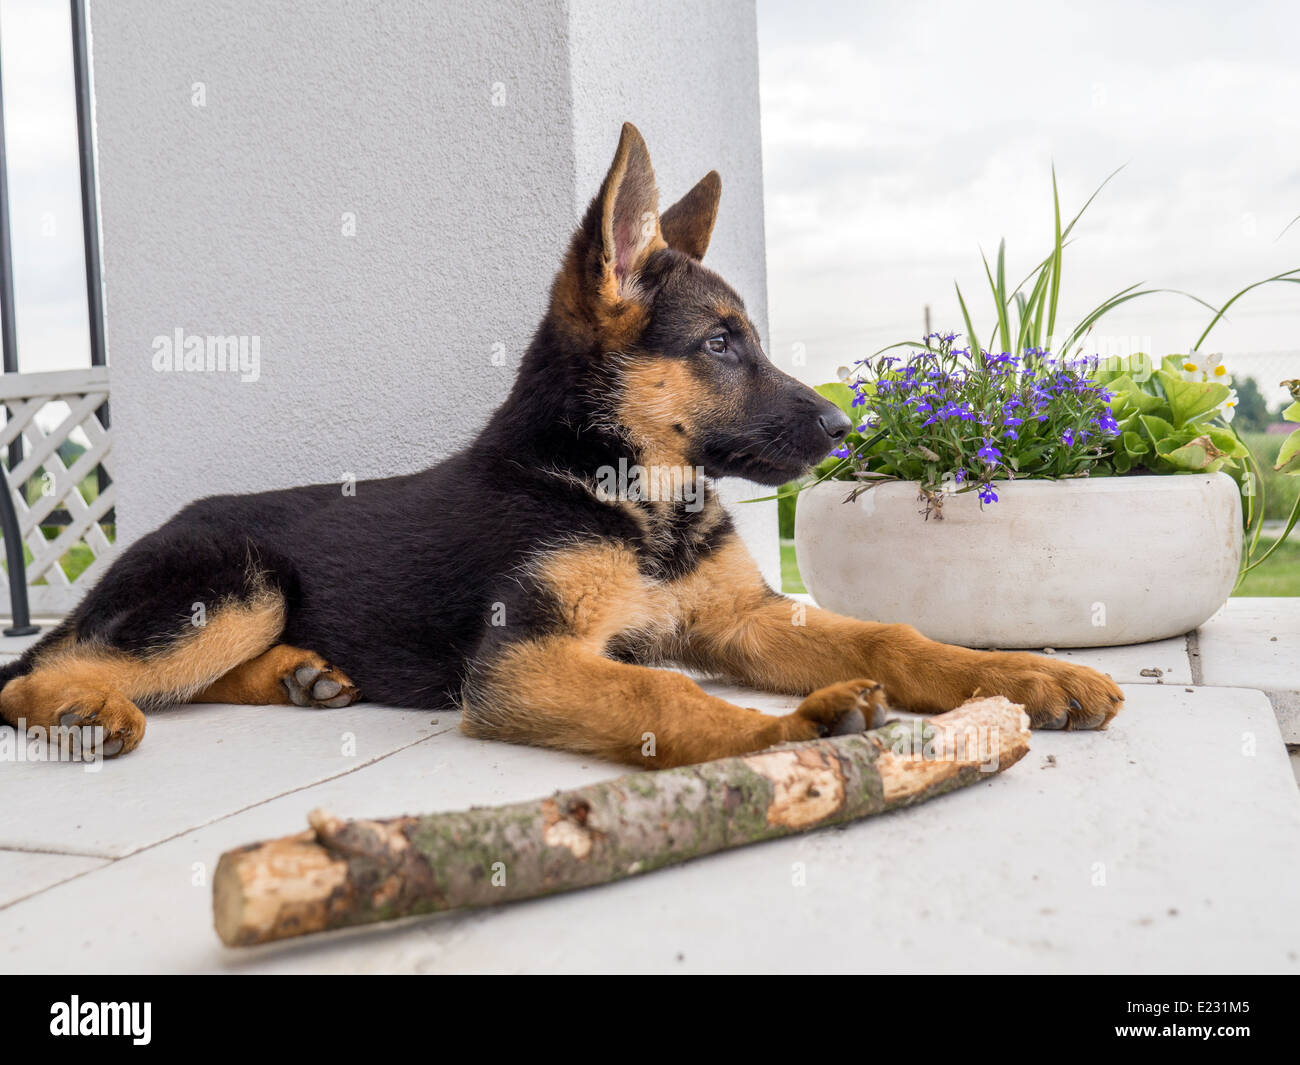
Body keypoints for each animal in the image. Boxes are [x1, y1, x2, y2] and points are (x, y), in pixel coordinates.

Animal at [0, 126, 1118, 764]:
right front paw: (790, 731)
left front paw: (1027, 674)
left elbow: (892, 636)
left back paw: (299, 678)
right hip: (237, 581)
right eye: (721, 343)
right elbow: (662, 692)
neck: (631, 494)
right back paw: (89, 709)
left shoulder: (744, 620)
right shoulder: (524, 660)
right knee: (35, 673)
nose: (847, 430)